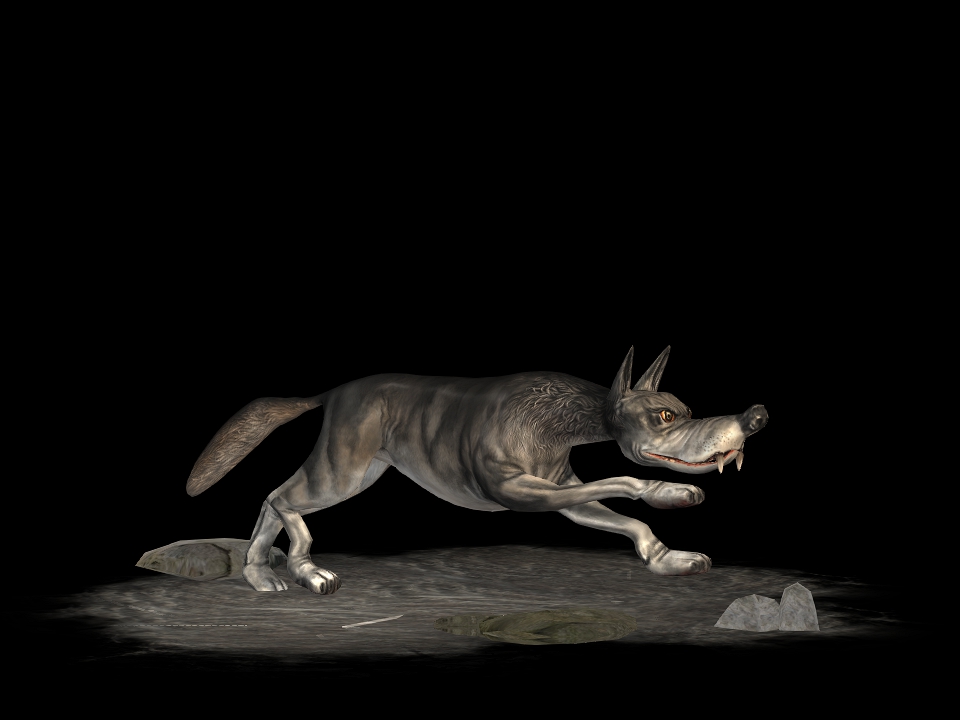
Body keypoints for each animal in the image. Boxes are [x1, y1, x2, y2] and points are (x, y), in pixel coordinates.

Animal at [187, 346, 768, 594]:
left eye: (686, 409)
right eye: (665, 416)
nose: (755, 418)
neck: (563, 419)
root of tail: (333, 391)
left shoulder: (563, 492)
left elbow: (626, 520)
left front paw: (668, 557)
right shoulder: (521, 492)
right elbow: (623, 481)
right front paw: (670, 492)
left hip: (357, 470)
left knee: (275, 495)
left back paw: (260, 573)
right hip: (342, 472)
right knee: (282, 497)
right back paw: (301, 569)